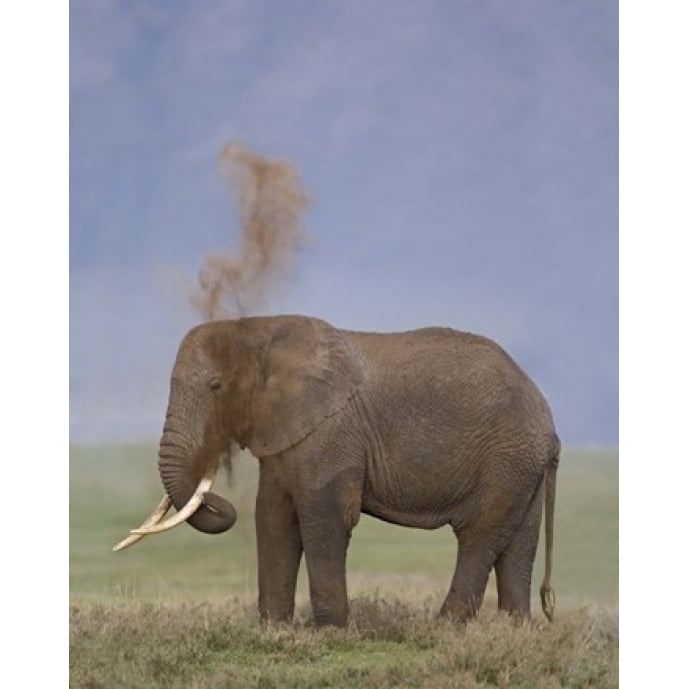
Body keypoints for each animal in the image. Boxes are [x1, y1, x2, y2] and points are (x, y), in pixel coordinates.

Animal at [114, 314, 560, 628]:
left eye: (215, 386)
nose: (216, 497)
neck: (260, 328)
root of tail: (549, 422)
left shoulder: (330, 434)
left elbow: (324, 516)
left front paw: (330, 631)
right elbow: (272, 517)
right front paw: (274, 630)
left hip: (507, 458)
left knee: (479, 535)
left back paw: (443, 628)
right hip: (522, 466)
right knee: (519, 541)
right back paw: (514, 630)